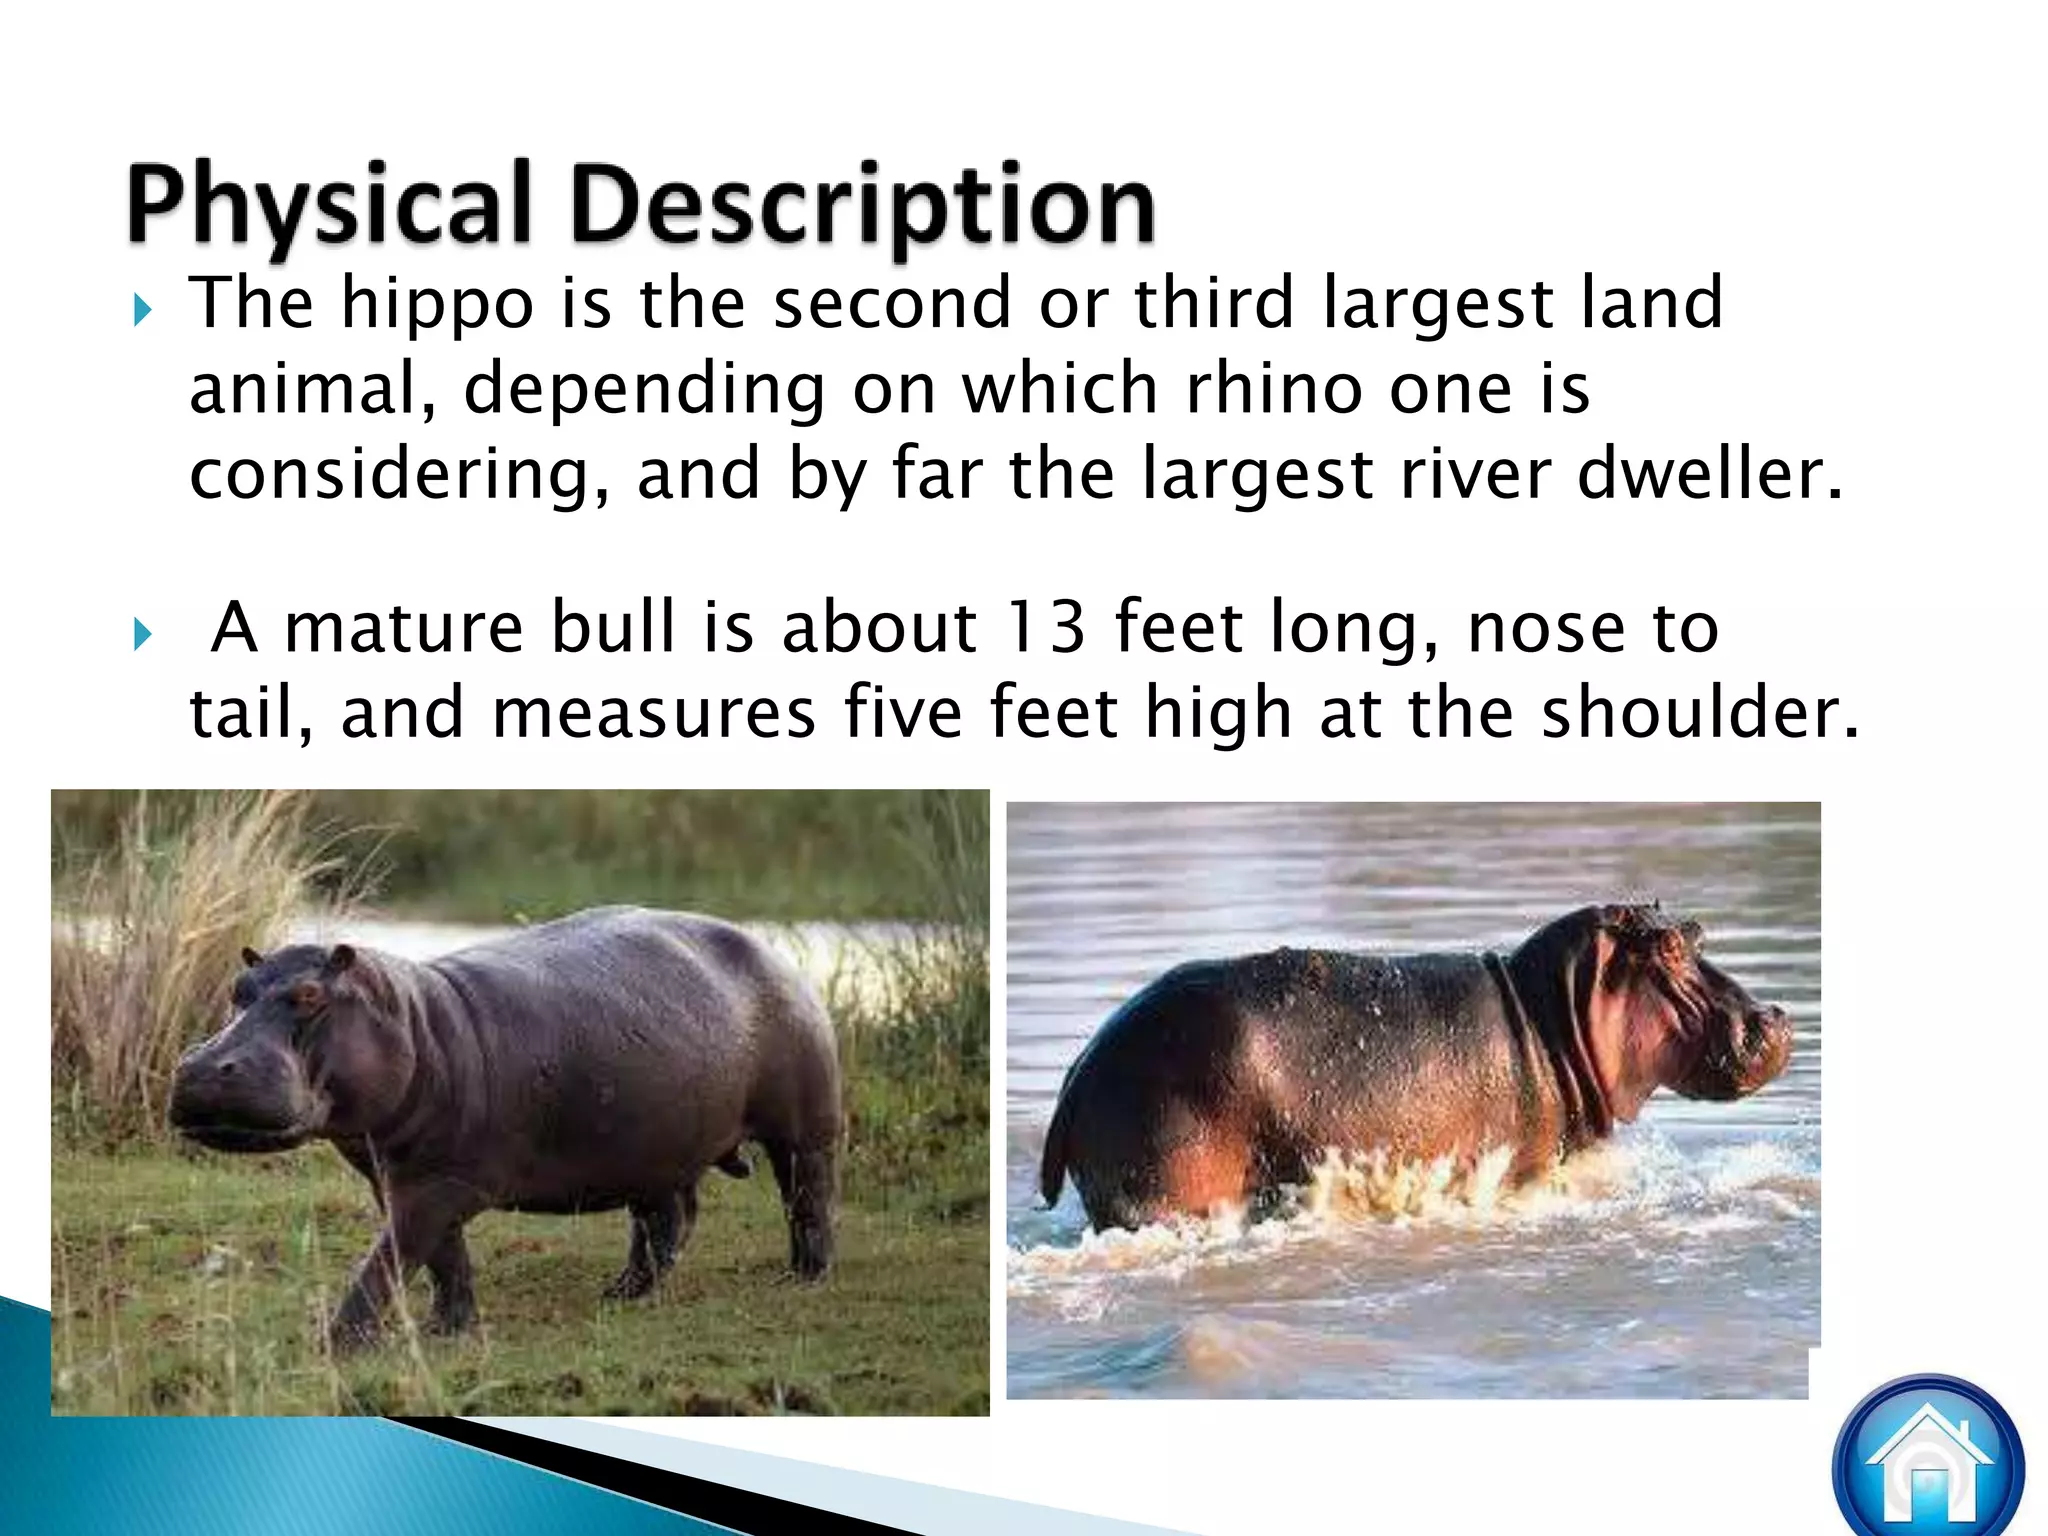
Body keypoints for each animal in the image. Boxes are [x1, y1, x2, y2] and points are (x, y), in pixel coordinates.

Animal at [168, 906, 842, 1349]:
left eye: (310, 995)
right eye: (237, 989)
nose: (201, 1067)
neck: (414, 1023)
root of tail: (770, 949)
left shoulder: (437, 1185)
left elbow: (390, 1257)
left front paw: (337, 1343)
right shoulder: (399, 1177)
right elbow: (444, 1259)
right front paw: (450, 1329)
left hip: (802, 1127)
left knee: (806, 1196)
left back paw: (804, 1277)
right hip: (654, 1146)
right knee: (665, 1220)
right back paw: (621, 1294)